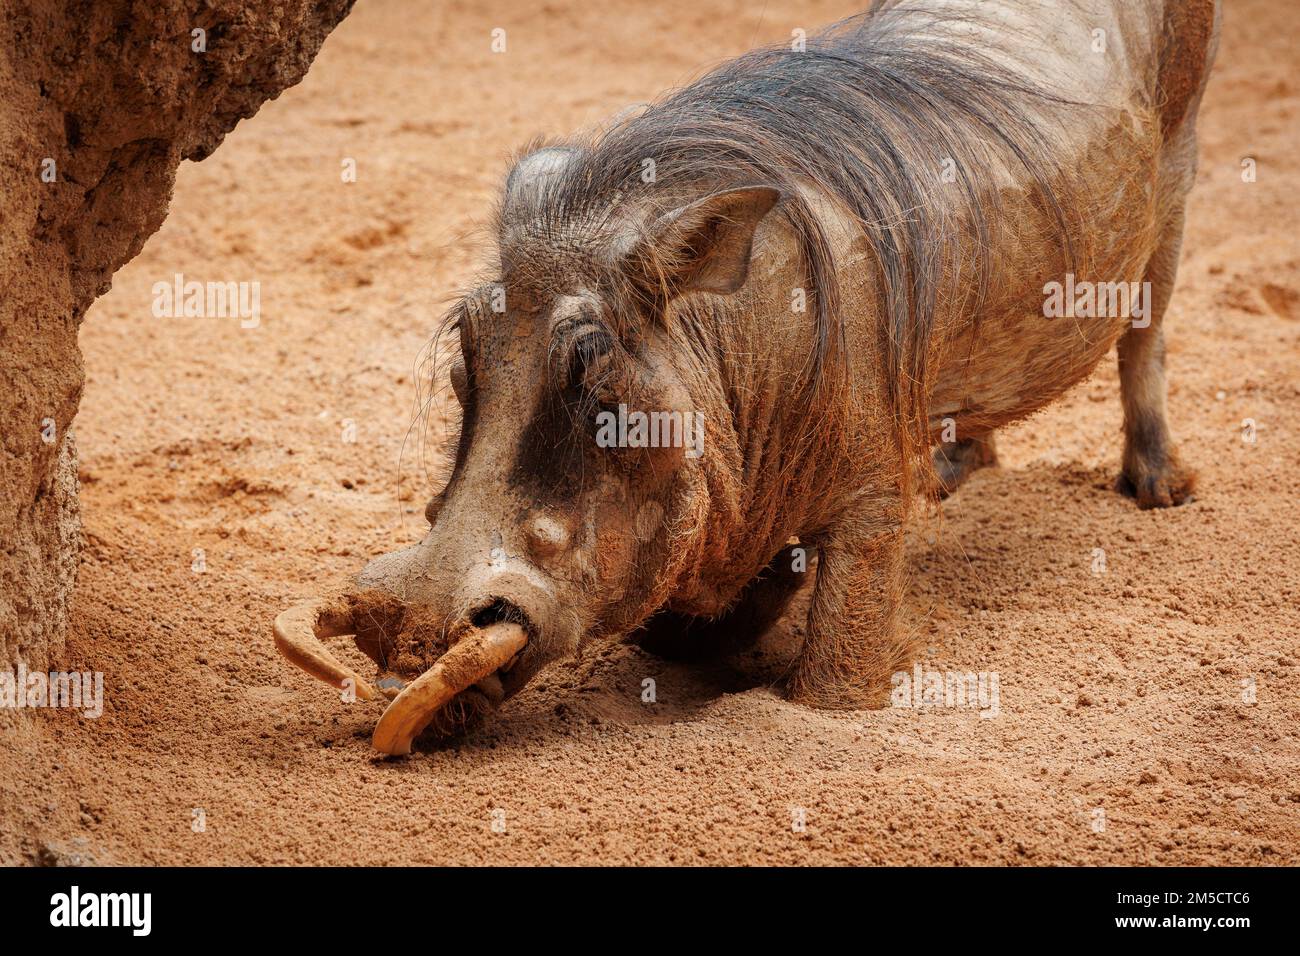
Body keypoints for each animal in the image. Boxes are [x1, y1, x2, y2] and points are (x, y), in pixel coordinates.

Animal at [274, 0, 1221, 754]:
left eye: (603, 395)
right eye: (465, 367)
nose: (406, 655)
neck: (737, 345)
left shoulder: (870, 494)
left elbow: (833, 670)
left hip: (1178, 173)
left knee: (1148, 331)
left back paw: (1158, 486)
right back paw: (956, 473)